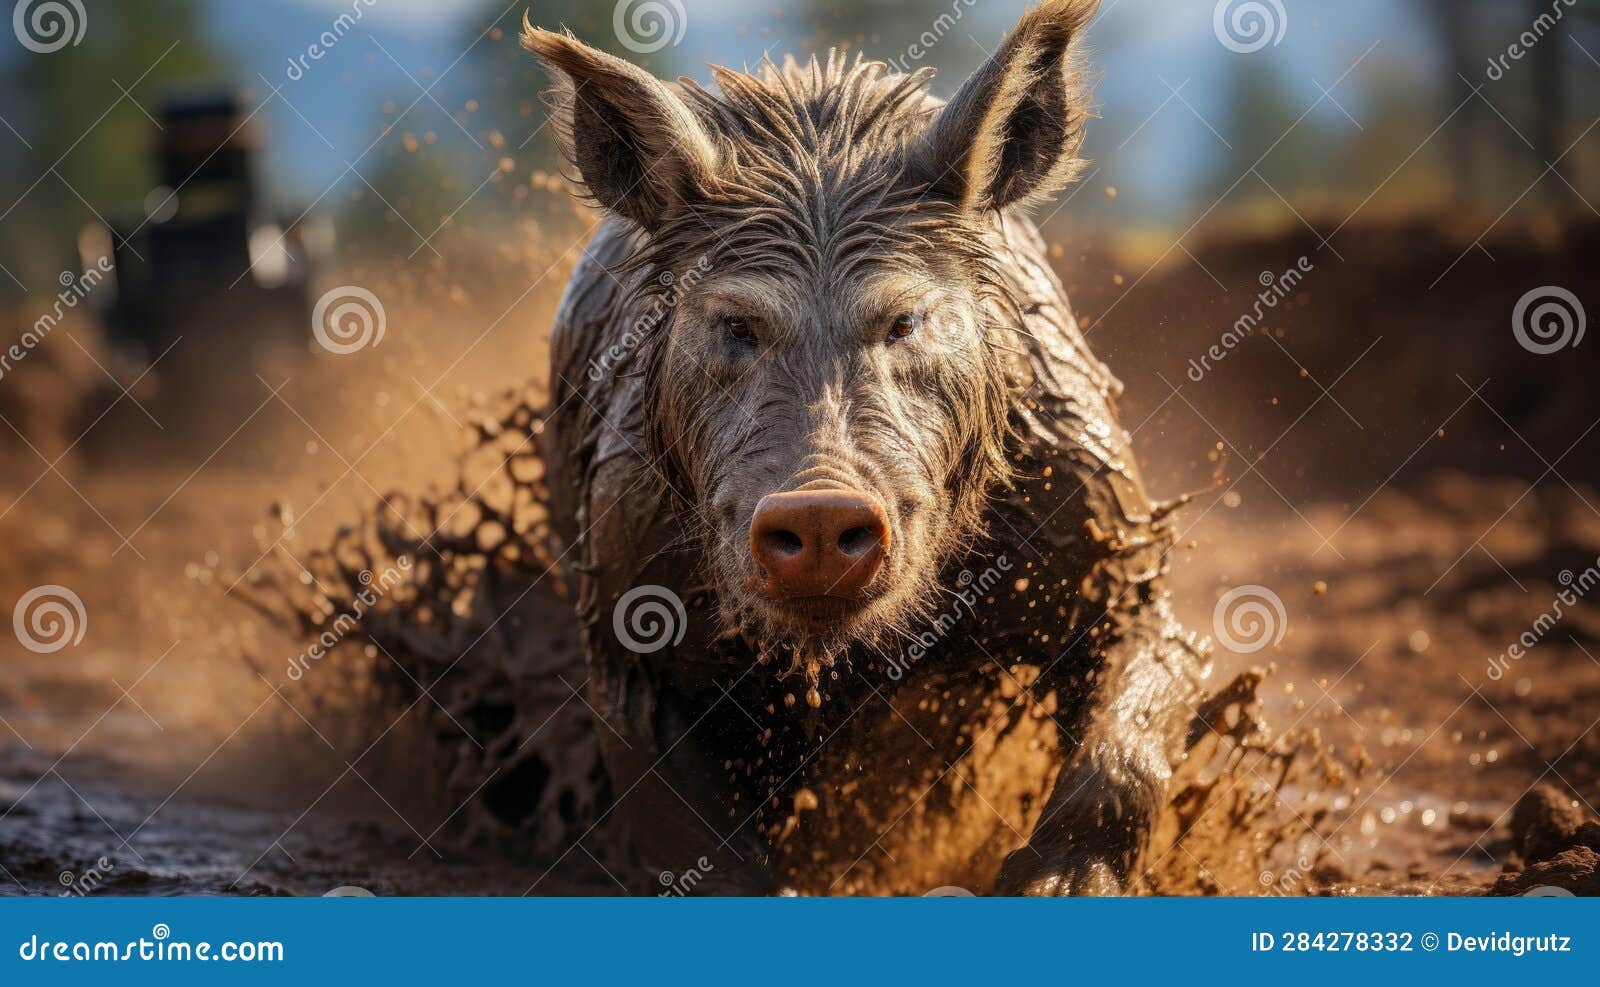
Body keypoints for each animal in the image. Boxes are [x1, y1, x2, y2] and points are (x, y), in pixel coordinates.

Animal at [524, 0, 1208, 895]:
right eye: (736, 325)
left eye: (904, 322)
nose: (820, 507)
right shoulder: (625, 615)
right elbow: (690, 842)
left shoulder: (1111, 541)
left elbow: (1125, 739)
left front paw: (1054, 889)